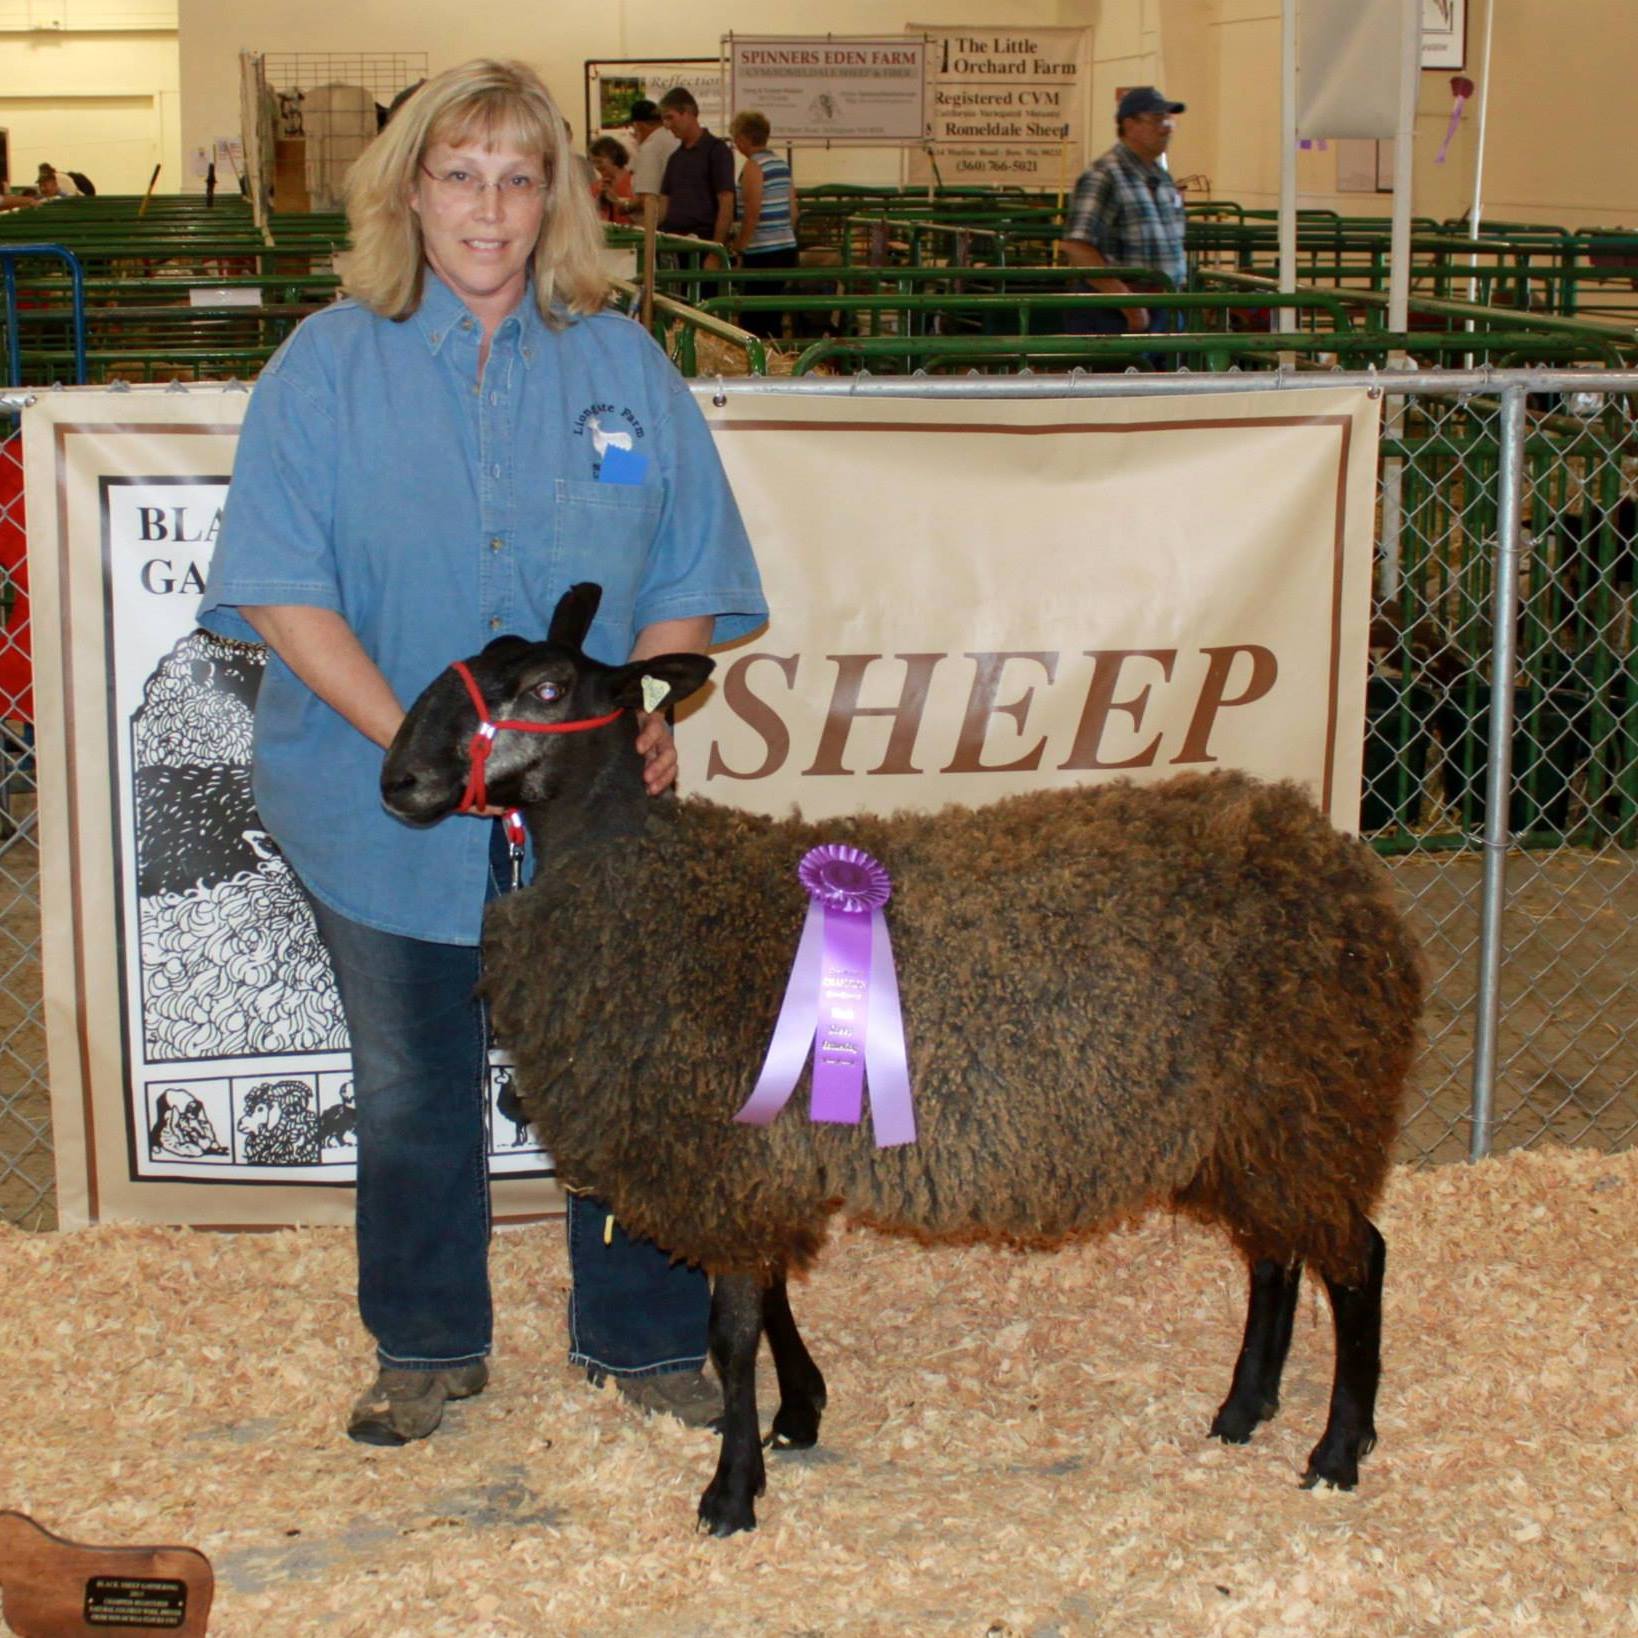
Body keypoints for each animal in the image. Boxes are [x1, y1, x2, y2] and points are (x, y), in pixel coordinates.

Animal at [381, 583, 1424, 1538]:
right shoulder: (769, 1154)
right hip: (1260, 1118)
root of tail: (1336, 857)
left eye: (549, 689)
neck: (645, 883)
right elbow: (772, 1301)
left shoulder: (731, 1156)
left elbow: (732, 1333)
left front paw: (732, 1491)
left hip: (1312, 1094)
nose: (399, 779)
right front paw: (798, 1411)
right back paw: (1244, 1410)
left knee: (1356, 1261)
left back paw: (1337, 1450)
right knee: (1276, 1256)